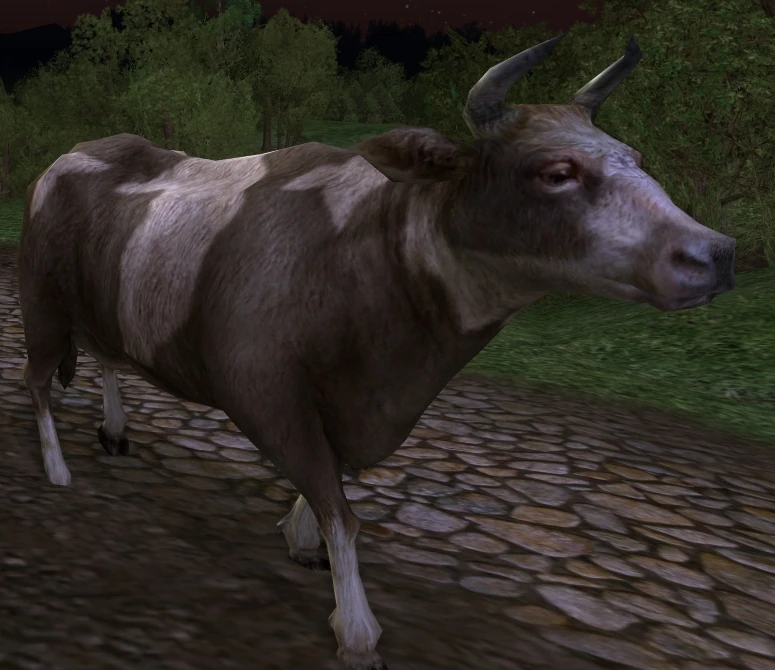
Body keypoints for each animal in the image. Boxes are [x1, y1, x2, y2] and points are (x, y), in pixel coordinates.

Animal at [19, 35, 734, 670]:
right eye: (557, 172)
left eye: (636, 156)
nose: (716, 253)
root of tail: (73, 153)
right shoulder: (265, 392)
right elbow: (339, 508)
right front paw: (356, 630)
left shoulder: (358, 402)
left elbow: (330, 485)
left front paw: (301, 542)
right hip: (41, 300)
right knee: (37, 379)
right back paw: (58, 469)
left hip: (99, 307)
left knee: (106, 355)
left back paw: (115, 430)